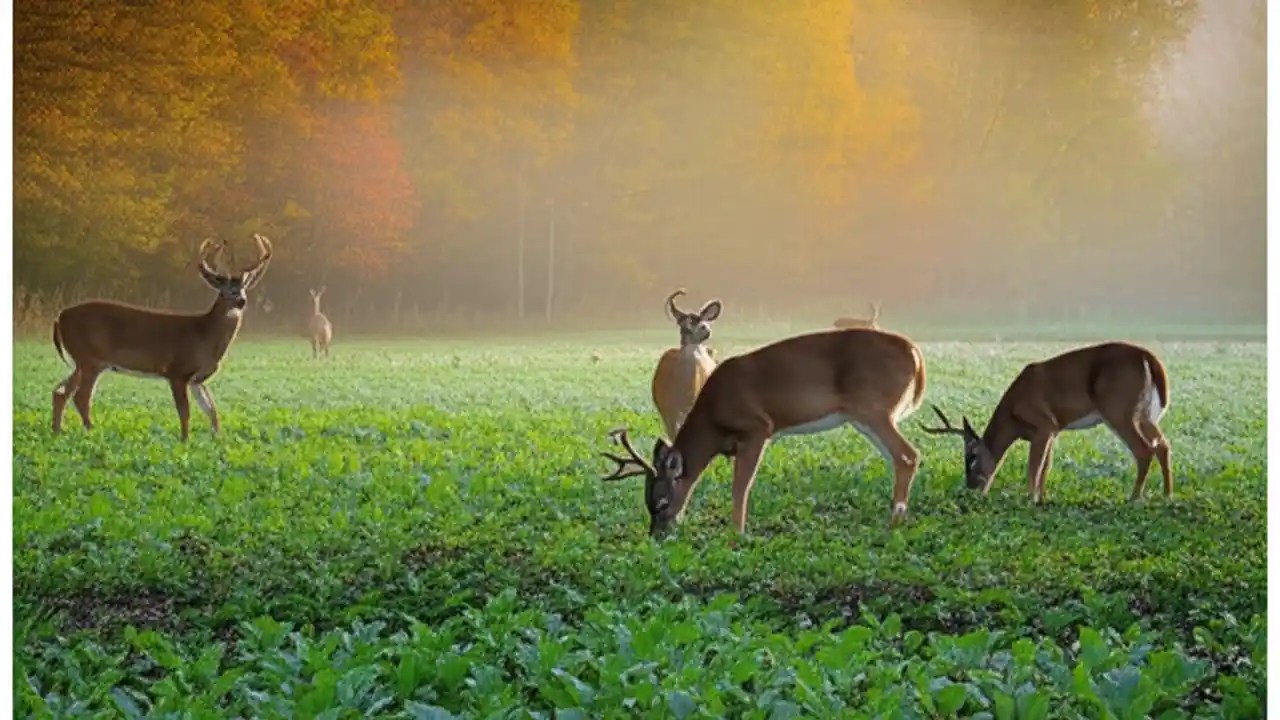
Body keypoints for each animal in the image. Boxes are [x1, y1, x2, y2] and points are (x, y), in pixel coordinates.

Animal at [50, 234, 273, 441]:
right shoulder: (177, 371)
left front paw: (217, 439)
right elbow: (185, 412)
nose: (241, 301)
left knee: (60, 392)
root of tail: (59, 317)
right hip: (90, 359)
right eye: (224, 290)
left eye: (243, 287)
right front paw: (185, 441)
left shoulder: (197, 378)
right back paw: (92, 432)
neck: (204, 335)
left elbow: (211, 410)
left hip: (81, 361)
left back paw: (58, 431)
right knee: (81, 397)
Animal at [603, 328, 928, 537]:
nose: (656, 535)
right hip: (865, 416)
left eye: (662, 502)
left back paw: (894, 523)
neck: (713, 419)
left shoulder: (757, 428)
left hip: (873, 407)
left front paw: (736, 535)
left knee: (908, 455)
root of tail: (914, 352)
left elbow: (741, 486)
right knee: (899, 457)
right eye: (647, 503)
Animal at [920, 341, 1172, 504]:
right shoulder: (1054, 430)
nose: (970, 486)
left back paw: (1134, 498)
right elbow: (1046, 466)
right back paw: (1167, 495)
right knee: (1163, 445)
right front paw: (1042, 498)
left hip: (1119, 409)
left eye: (972, 457)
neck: (1013, 414)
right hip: (1145, 414)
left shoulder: (1044, 423)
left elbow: (1034, 466)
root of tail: (1149, 358)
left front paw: (1029, 499)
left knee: (1144, 450)